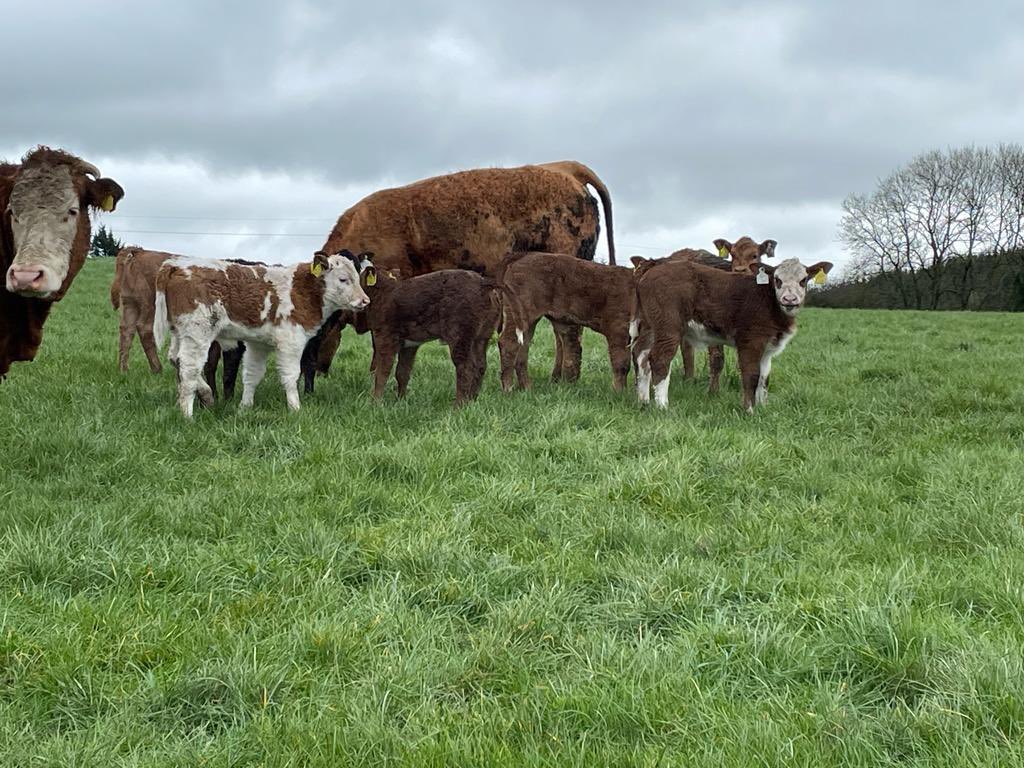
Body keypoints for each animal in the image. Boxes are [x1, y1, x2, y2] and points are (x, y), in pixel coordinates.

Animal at [152, 252, 370, 417]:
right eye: (343, 279)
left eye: (358, 277)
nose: (365, 300)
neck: (302, 290)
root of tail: (176, 265)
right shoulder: (291, 341)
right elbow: (291, 376)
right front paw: (295, 408)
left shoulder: (258, 344)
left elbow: (252, 374)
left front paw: (245, 407)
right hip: (198, 332)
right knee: (189, 369)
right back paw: (187, 415)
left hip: (180, 332)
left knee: (175, 359)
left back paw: (206, 394)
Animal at [308, 160, 616, 389]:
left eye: (317, 332)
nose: (317, 371)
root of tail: (565, 168)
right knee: (560, 330)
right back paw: (555, 378)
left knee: (569, 332)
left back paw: (568, 379)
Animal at [497, 251, 635, 392]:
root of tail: (523, 255)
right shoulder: (618, 329)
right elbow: (622, 363)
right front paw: (619, 392)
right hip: (519, 313)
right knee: (508, 342)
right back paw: (508, 388)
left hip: (528, 321)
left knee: (523, 346)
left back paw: (527, 388)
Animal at [631, 257, 833, 411]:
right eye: (777, 279)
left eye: (803, 280)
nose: (790, 299)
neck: (770, 302)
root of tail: (651, 270)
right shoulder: (750, 340)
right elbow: (751, 374)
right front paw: (749, 410)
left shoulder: (767, 347)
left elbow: (764, 378)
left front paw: (763, 408)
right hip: (668, 326)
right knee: (659, 359)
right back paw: (662, 406)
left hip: (650, 325)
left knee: (641, 356)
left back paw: (644, 401)